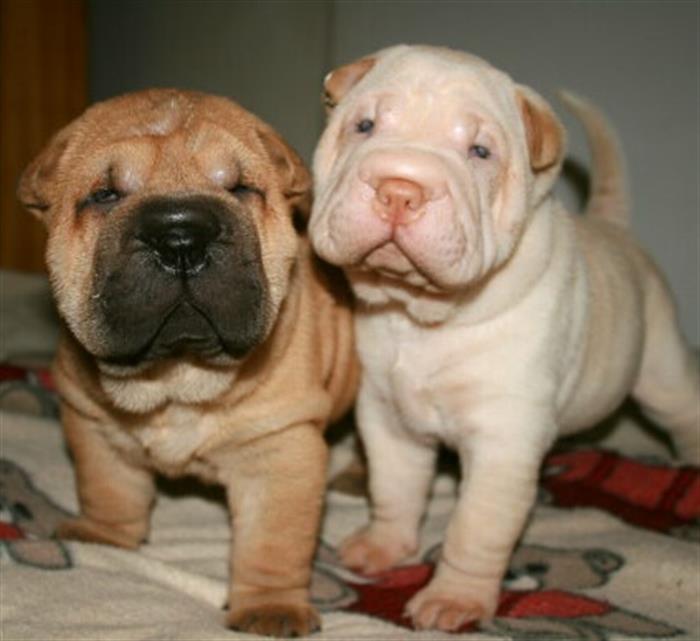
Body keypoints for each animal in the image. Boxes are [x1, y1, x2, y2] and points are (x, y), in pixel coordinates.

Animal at [19, 89, 358, 636]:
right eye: (105, 195)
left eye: (240, 188)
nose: (180, 238)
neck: (176, 376)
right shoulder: (91, 424)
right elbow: (107, 489)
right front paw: (101, 537)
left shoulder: (280, 448)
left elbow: (273, 541)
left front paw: (271, 608)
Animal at [308, 45, 696, 632]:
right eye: (365, 125)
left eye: (481, 151)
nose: (400, 190)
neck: (420, 315)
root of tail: (617, 229)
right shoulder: (389, 421)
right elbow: (395, 488)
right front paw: (382, 548)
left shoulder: (502, 442)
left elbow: (475, 529)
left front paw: (454, 600)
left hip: (659, 367)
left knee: (682, 409)